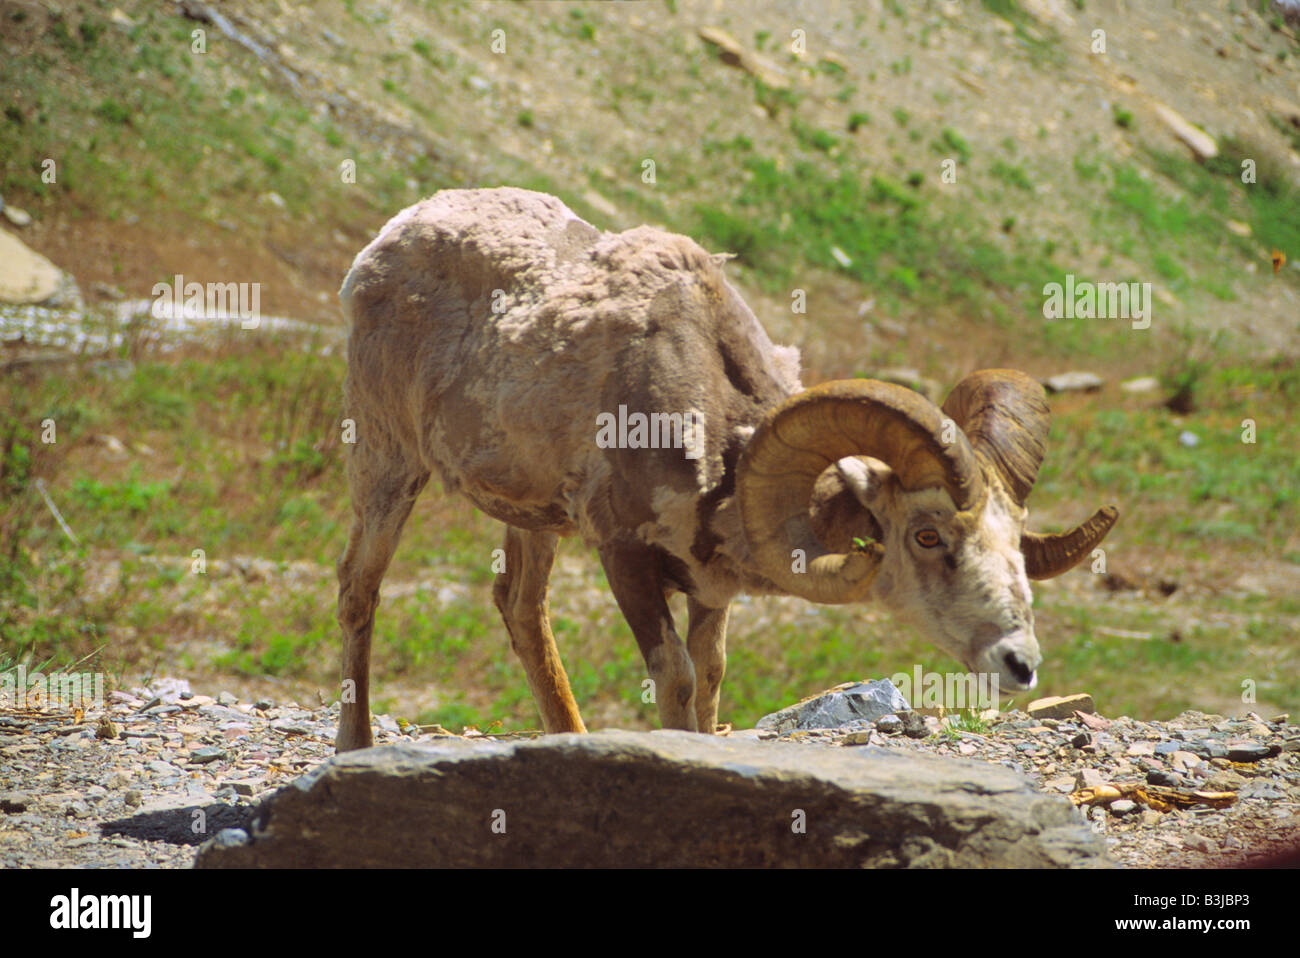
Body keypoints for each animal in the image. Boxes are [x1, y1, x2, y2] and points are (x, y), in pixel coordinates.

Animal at [333, 187, 1118, 751]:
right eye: (927, 537)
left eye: (1014, 536)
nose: (1020, 662)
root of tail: (385, 242)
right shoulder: (624, 556)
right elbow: (675, 678)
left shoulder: (711, 593)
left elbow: (709, 680)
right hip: (388, 461)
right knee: (359, 589)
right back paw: (355, 746)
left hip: (530, 519)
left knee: (520, 607)